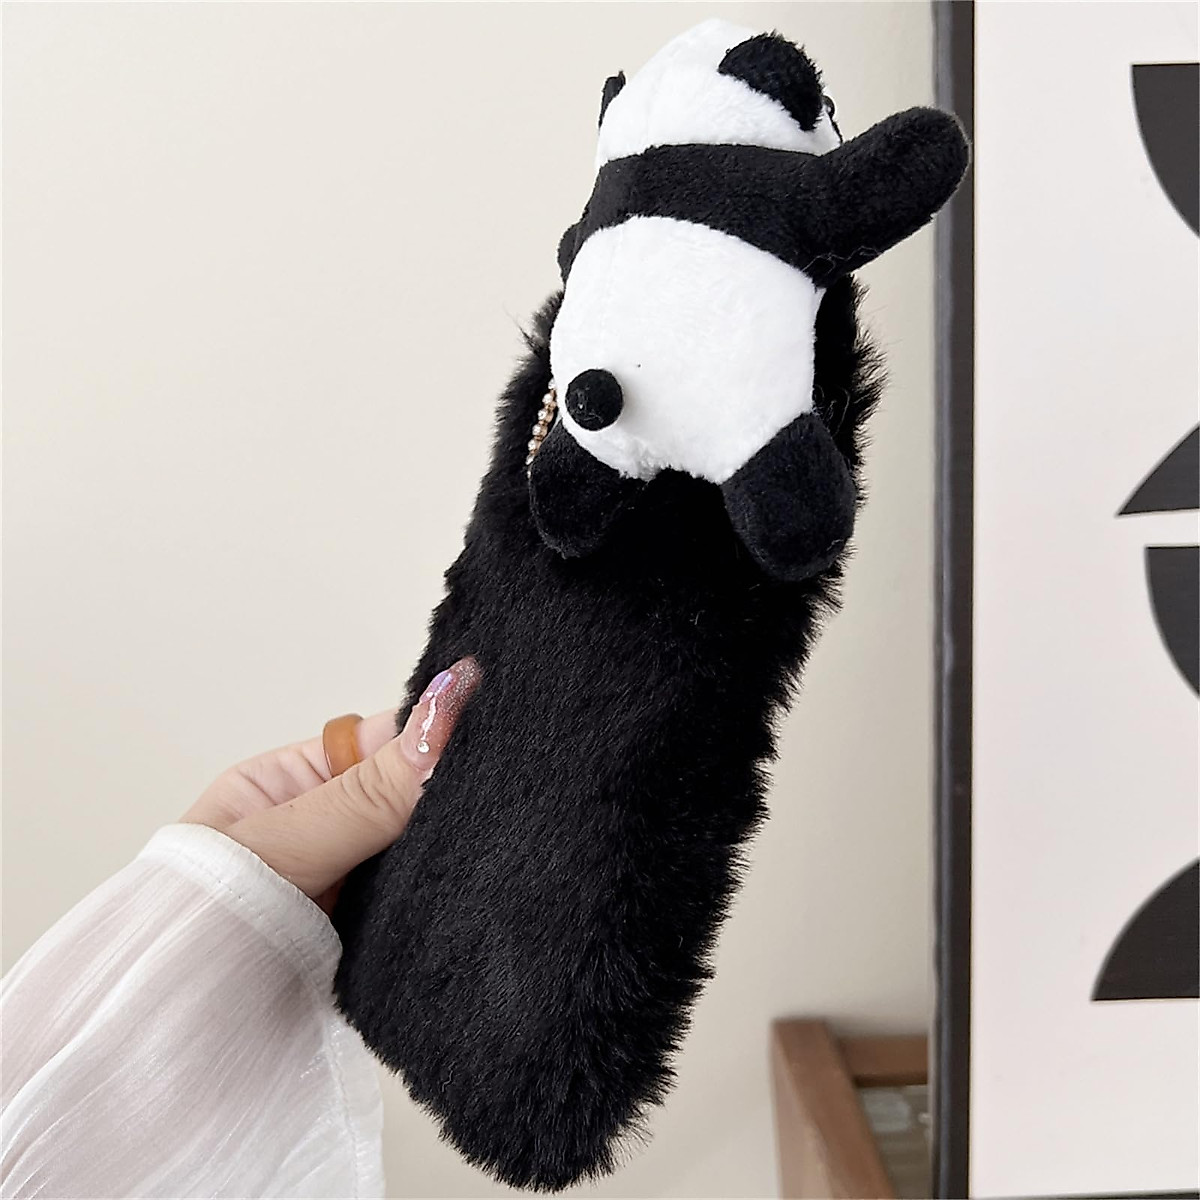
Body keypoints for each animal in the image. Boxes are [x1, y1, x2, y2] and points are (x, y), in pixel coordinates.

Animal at [530, 19, 969, 581]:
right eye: (826, 104)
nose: (835, 114)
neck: (661, 136)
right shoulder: (769, 192)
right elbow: (869, 185)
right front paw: (935, 135)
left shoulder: (602, 201)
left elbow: (569, 242)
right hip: (749, 422)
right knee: (784, 488)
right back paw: (808, 531)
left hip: (595, 440)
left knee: (573, 480)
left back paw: (562, 511)